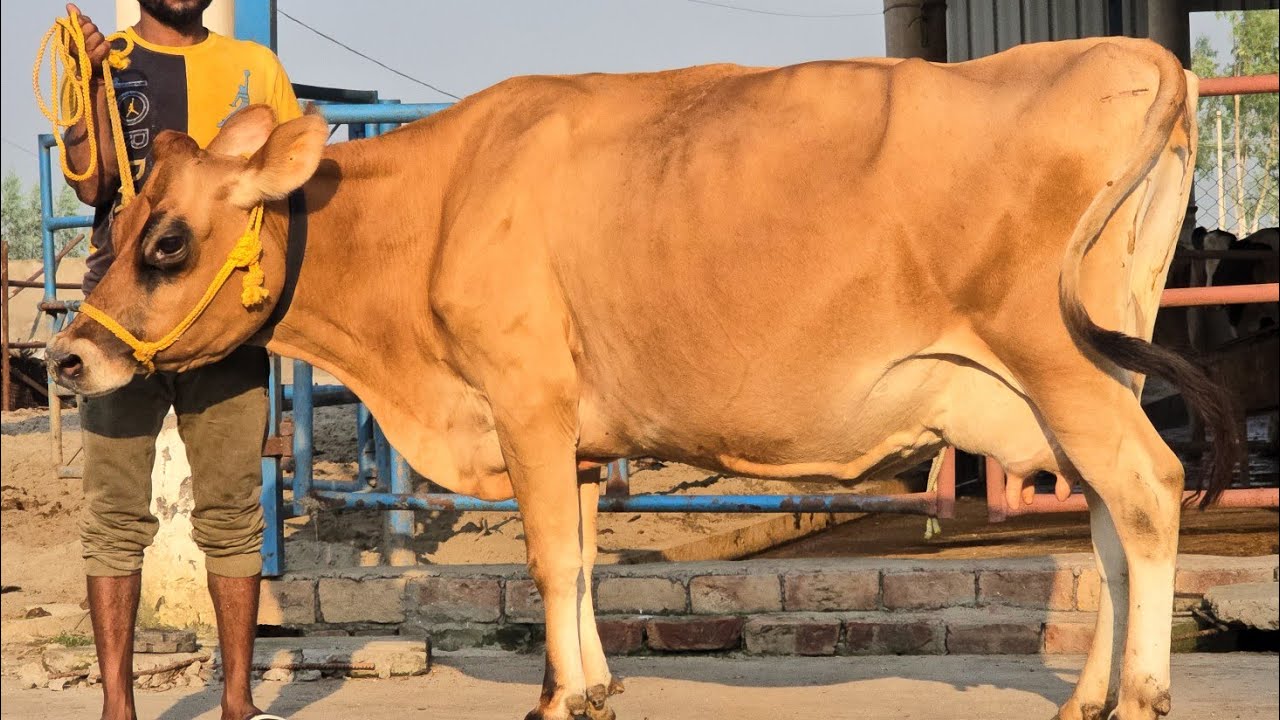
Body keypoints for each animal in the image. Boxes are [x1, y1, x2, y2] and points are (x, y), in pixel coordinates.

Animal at [47, 37, 1237, 720]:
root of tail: (1133, 54)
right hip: (1089, 366)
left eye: (166, 242)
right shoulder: (574, 433)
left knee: (1144, 493)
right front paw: (588, 686)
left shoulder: (524, 397)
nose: (68, 354)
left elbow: (544, 556)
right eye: (120, 224)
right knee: (1107, 522)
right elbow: (576, 564)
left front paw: (562, 697)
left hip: (1060, 360)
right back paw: (1084, 698)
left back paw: (1139, 694)